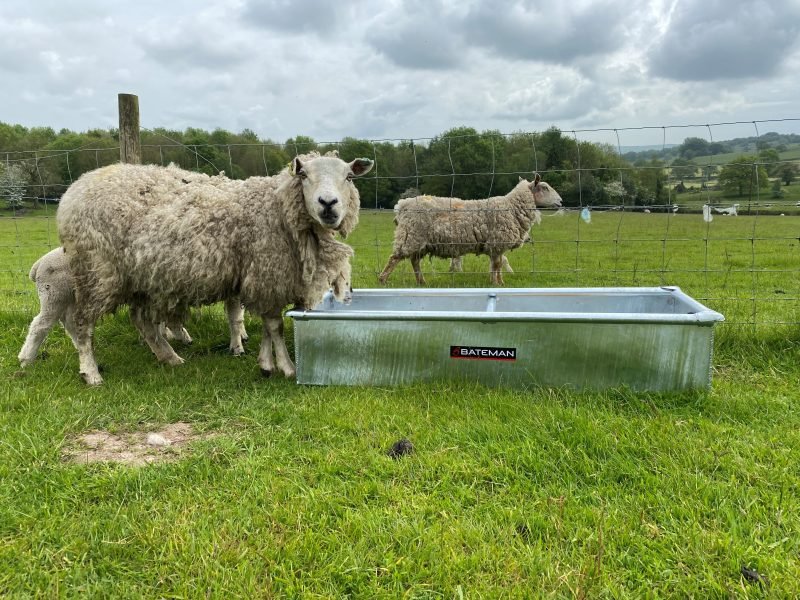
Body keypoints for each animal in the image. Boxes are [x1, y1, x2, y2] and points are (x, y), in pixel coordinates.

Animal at [17, 247, 248, 367]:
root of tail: (38, 265)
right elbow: (235, 318)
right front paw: (237, 346)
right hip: (55, 295)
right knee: (40, 326)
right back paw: (26, 358)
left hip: (70, 299)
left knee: (70, 324)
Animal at [56, 153, 373, 384]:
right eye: (304, 175)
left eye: (348, 176)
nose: (328, 204)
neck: (277, 208)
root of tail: (75, 189)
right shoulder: (266, 272)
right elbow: (275, 326)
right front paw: (285, 367)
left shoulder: (261, 277)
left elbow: (265, 325)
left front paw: (265, 363)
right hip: (97, 270)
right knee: (83, 323)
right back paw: (91, 373)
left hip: (141, 278)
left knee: (142, 320)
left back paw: (169, 357)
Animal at [378, 174, 562, 286]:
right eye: (544, 187)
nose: (560, 201)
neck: (511, 207)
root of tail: (402, 205)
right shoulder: (497, 242)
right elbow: (497, 264)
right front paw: (495, 283)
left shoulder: (497, 245)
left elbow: (497, 265)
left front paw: (500, 282)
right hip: (410, 235)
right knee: (394, 258)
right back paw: (383, 280)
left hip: (419, 241)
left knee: (414, 261)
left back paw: (421, 282)